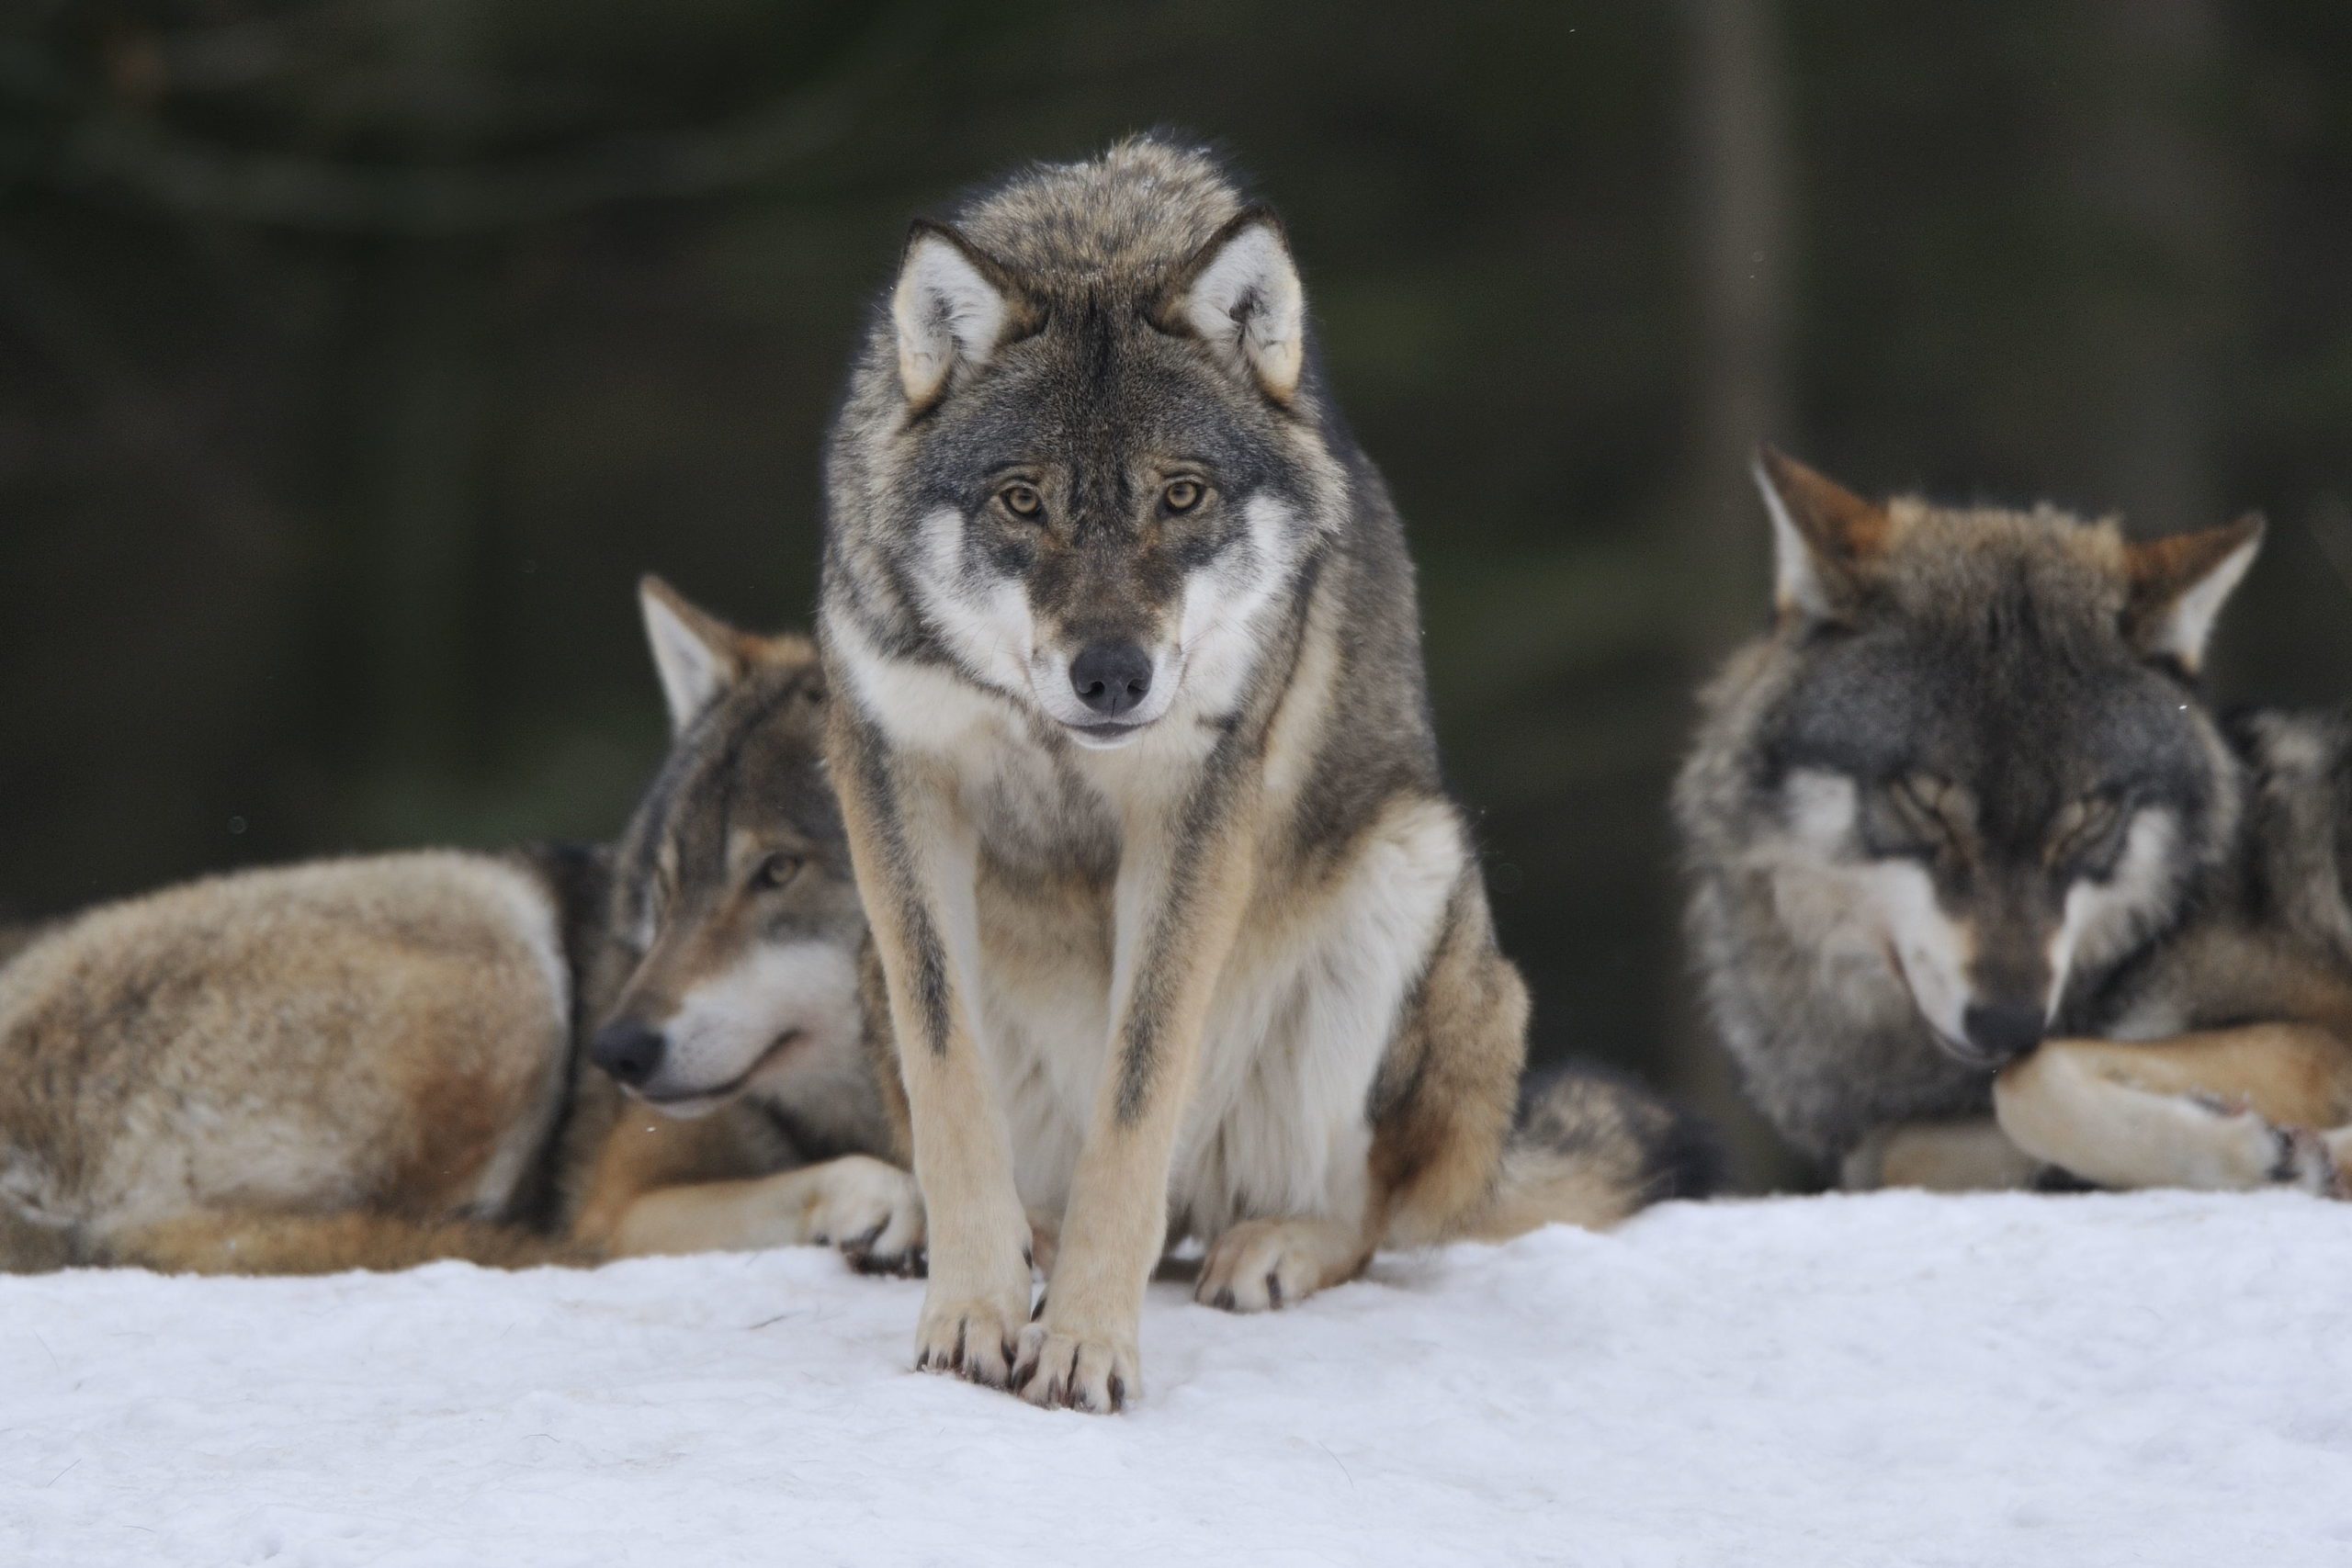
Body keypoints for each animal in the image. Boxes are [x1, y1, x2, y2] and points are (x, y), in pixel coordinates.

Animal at [0, 579, 924, 1273]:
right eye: (667, 888)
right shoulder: (621, 1207)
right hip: (503, 960)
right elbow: (837, 1179)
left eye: (777, 870)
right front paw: (880, 1198)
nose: (616, 1051)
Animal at [820, 136, 1712, 1412]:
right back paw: (947, 1224)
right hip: (860, 932)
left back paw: (1273, 1247)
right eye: (1022, 501)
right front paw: (973, 1310)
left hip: (1412, 866)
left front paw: (1087, 1341)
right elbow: (950, 1086)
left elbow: (1137, 1097)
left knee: (1371, 1214)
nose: (1110, 676)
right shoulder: (894, 772)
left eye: (1181, 494)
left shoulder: (1196, 805)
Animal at [1678, 448, 2352, 1193]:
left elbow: (2028, 1083)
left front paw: (2249, 1152)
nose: (2008, 1024)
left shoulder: (2321, 1033)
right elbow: (1918, 1147)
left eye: (2086, 818)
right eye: (1925, 800)